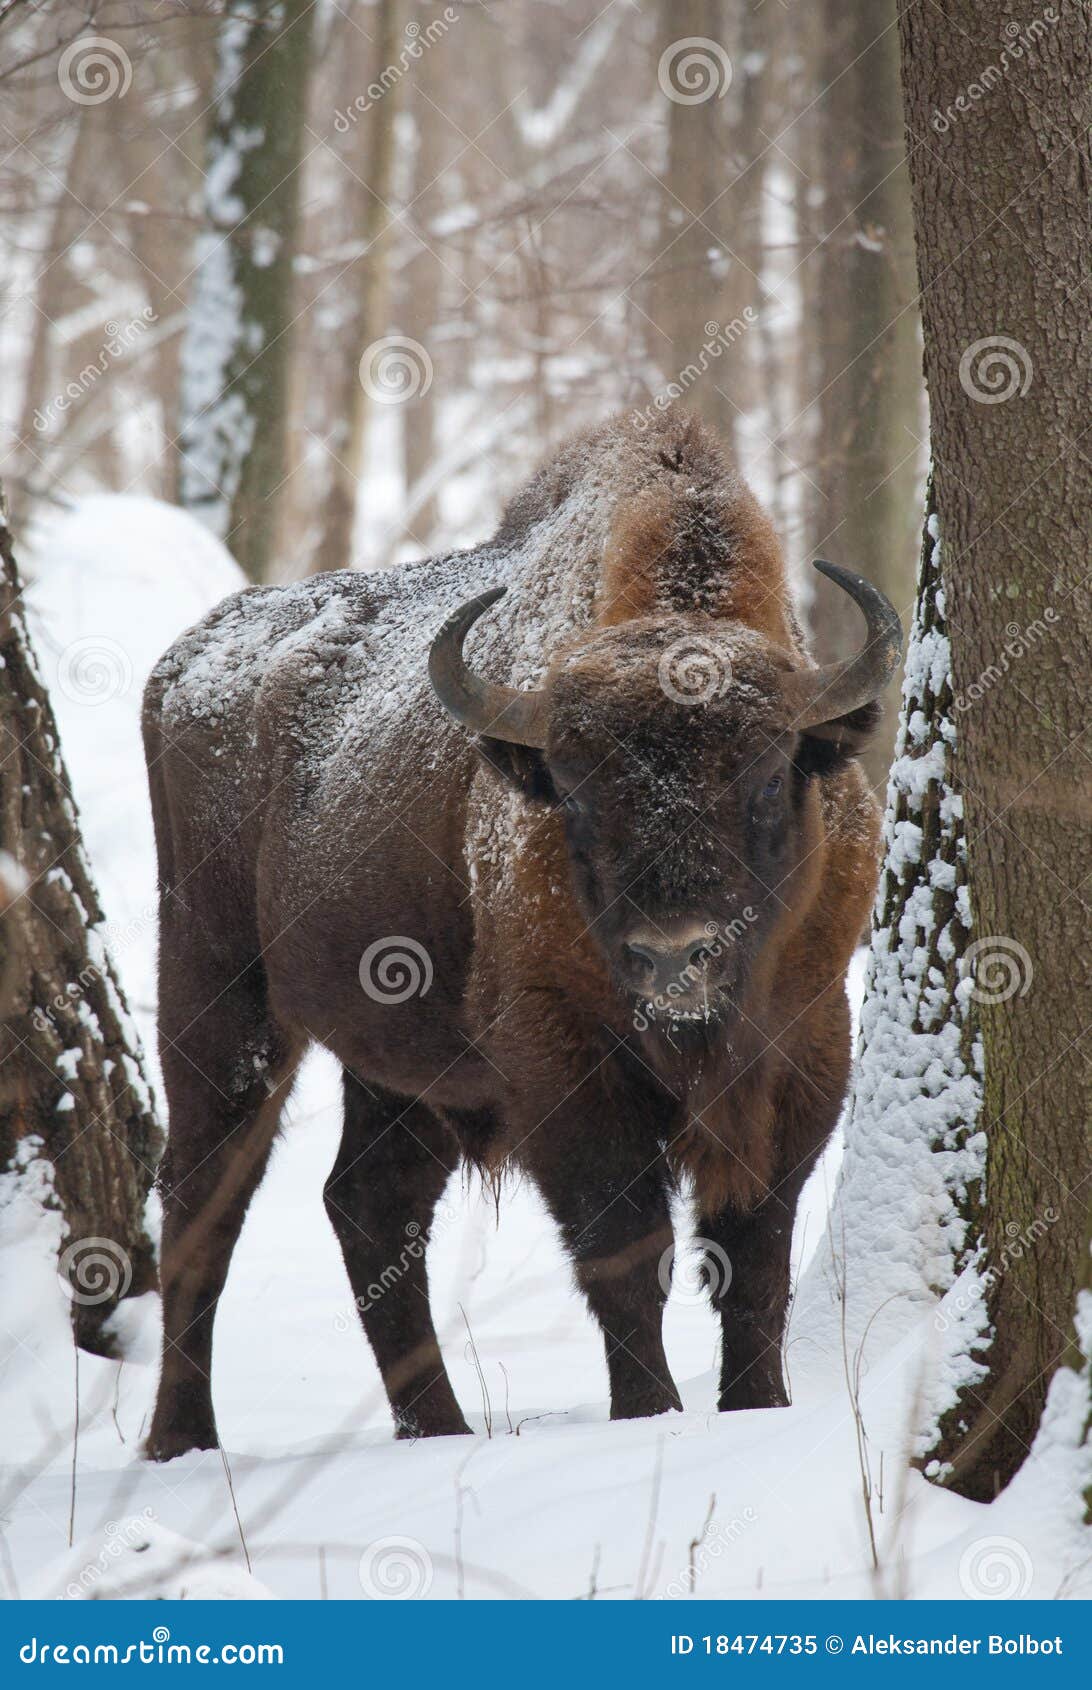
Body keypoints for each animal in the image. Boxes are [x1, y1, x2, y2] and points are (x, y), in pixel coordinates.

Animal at [142, 407, 900, 1460]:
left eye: (762, 776)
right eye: (574, 793)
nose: (675, 956)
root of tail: (186, 663)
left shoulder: (805, 1047)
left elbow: (754, 1257)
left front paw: (759, 1409)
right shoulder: (561, 1063)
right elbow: (626, 1252)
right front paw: (650, 1413)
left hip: (397, 1064)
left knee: (368, 1204)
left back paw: (437, 1427)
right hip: (219, 1005)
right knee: (200, 1207)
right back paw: (183, 1440)